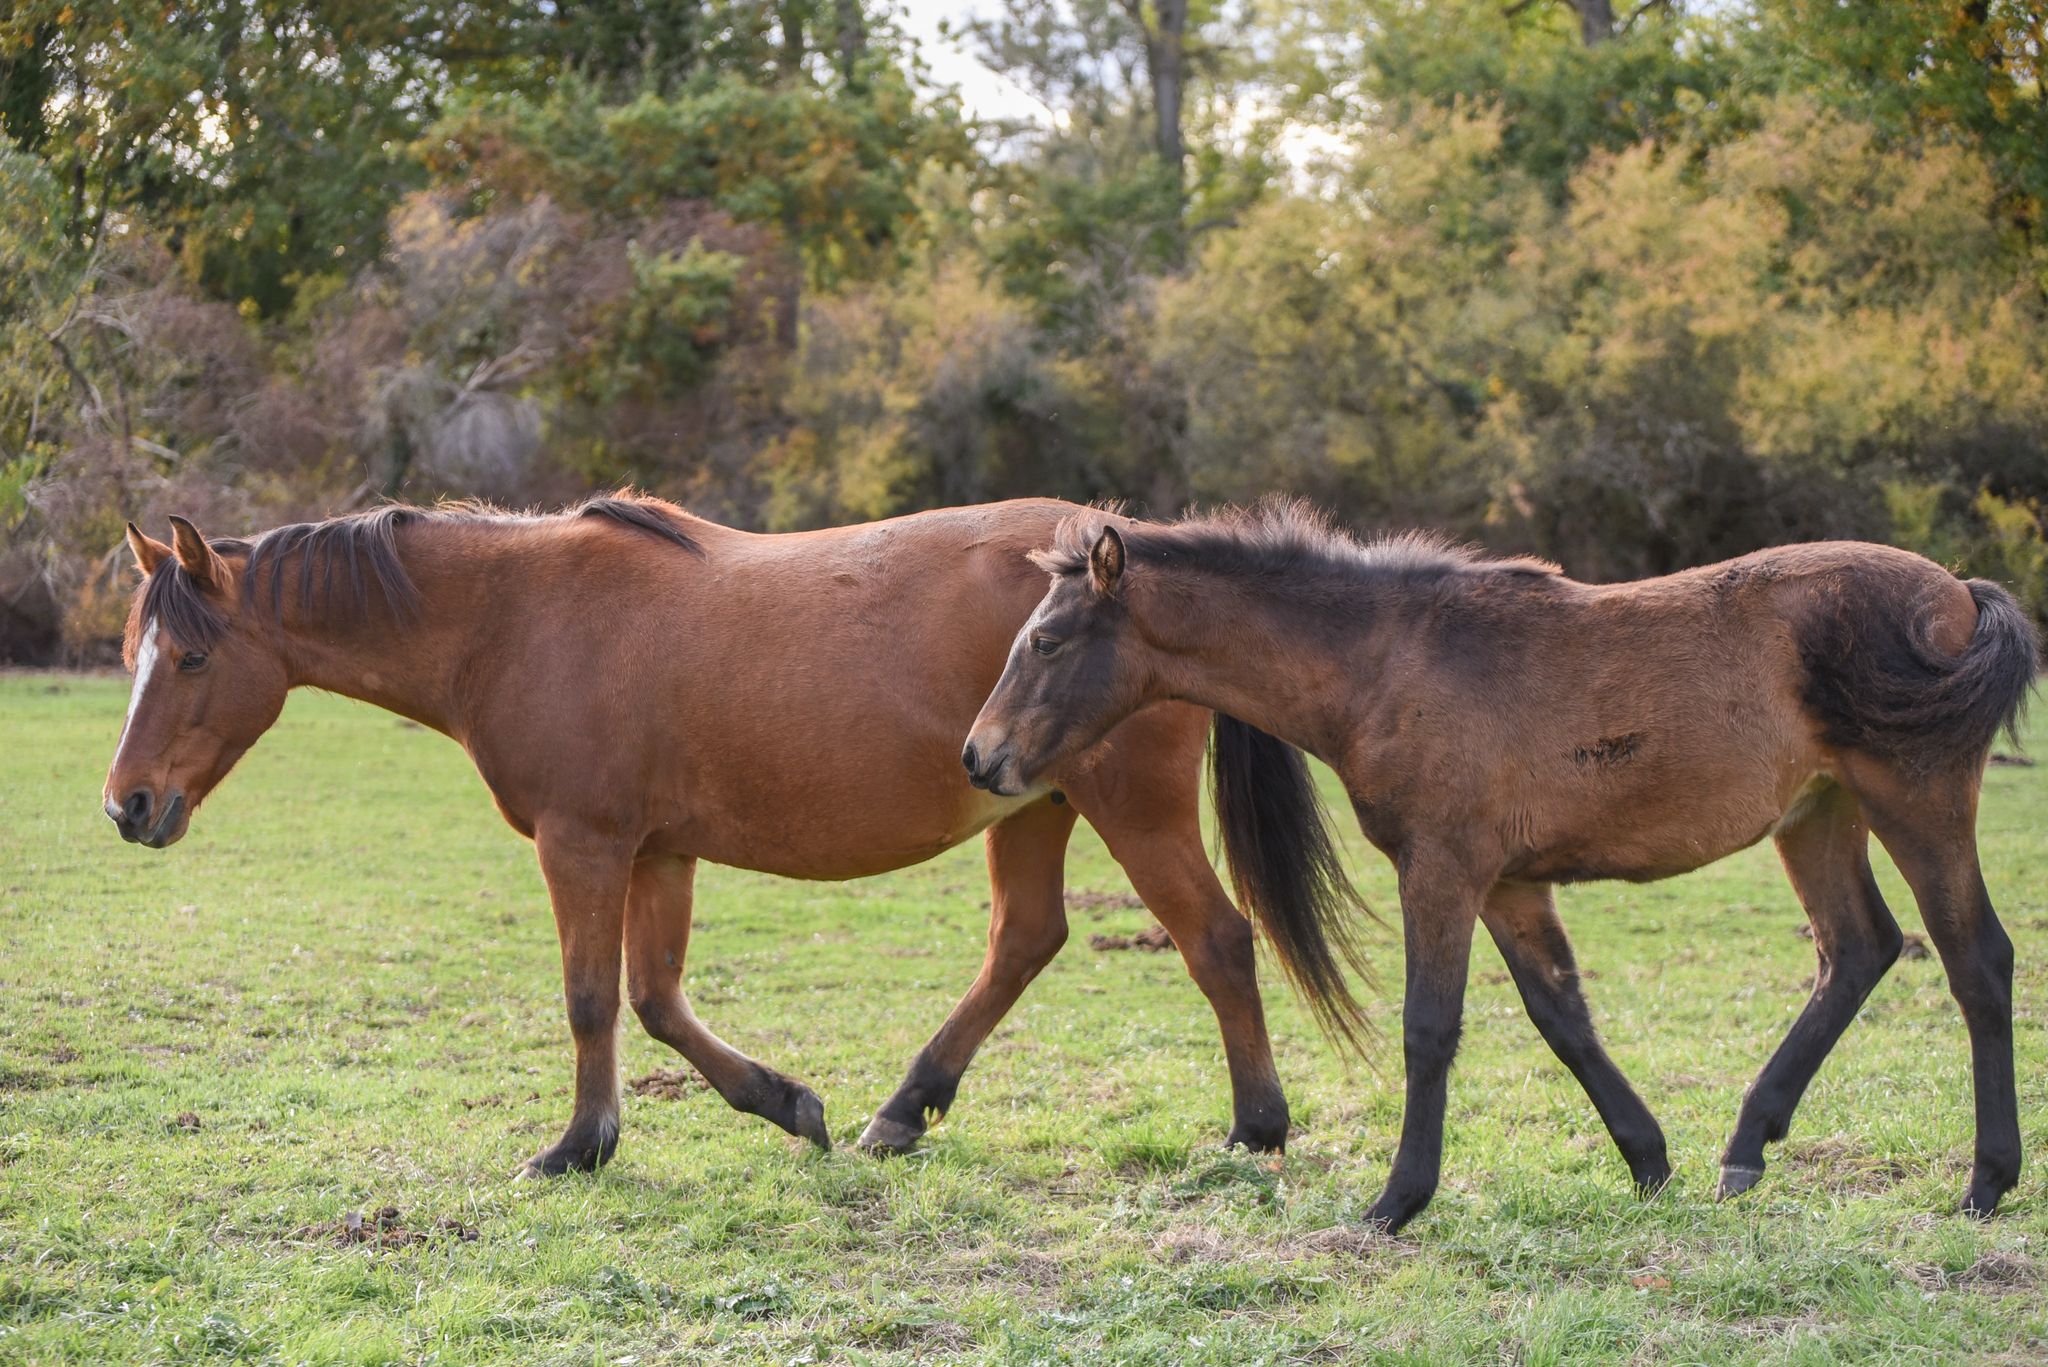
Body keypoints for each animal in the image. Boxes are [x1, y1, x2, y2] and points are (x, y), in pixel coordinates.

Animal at [102, 494, 1299, 1177]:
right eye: (130, 651)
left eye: (193, 657)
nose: (127, 804)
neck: (513, 615)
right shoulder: (658, 851)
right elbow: (655, 1000)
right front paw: (786, 1102)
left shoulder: (582, 843)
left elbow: (592, 999)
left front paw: (579, 1146)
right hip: (1030, 804)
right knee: (1025, 942)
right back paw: (902, 1111)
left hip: (1130, 809)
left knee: (1215, 940)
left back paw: (1256, 1128)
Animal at [962, 501, 2039, 1232]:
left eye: (1046, 639)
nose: (979, 757)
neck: (1388, 660)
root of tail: (1955, 592)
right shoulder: (1512, 882)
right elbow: (1563, 1016)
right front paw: (1648, 1161)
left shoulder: (1440, 868)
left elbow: (1428, 1028)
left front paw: (1395, 1200)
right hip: (1817, 813)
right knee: (1856, 948)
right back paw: (1743, 1151)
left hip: (1916, 799)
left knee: (1974, 959)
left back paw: (1985, 1180)